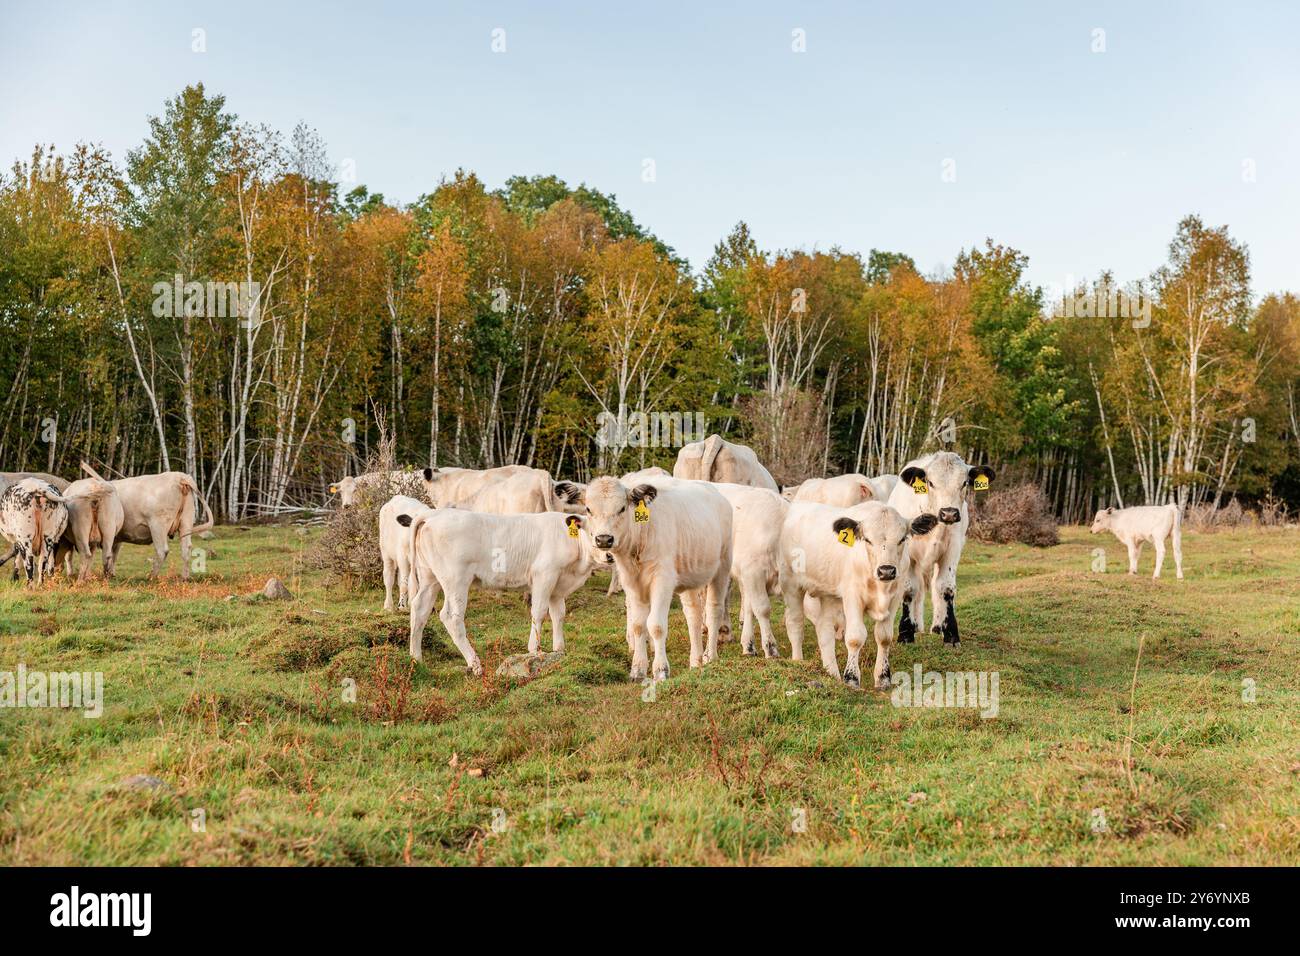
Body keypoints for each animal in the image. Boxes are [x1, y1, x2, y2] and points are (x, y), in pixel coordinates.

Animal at [399, 508, 610, 672]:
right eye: (592, 533)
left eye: (611, 533)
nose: (608, 552)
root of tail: (433, 513)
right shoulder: (544, 575)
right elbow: (539, 612)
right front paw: (534, 651)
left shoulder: (558, 586)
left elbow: (558, 615)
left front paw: (559, 650)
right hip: (456, 580)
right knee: (451, 617)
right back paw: (475, 664)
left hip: (430, 578)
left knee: (419, 609)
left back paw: (416, 659)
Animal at [582, 476, 733, 681]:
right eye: (588, 509)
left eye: (622, 508)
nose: (604, 539)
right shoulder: (631, 583)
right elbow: (638, 625)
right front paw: (637, 669)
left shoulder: (662, 581)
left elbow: (656, 625)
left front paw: (661, 670)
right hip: (691, 576)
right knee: (693, 615)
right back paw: (696, 662)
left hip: (722, 568)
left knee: (713, 610)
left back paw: (711, 657)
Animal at [778, 500, 939, 689]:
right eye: (867, 539)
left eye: (902, 539)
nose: (886, 570)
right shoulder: (852, 597)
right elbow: (855, 637)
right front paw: (851, 678)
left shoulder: (895, 597)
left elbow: (884, 637)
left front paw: (883, 678)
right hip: (791, 585)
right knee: (795, 623)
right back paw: (798, 661)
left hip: (829, 595)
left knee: (824, 629)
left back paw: (832, 673)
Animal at [885, 451, 994, 647]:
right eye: (930, 482)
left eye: (965, 482)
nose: (949, 513)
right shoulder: (908, 555)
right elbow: (909, 589)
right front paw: (906, 633)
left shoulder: (952, 551)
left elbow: (946, 587)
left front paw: (950, 634)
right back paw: (917, 625)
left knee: (935, 585)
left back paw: (937, 625)